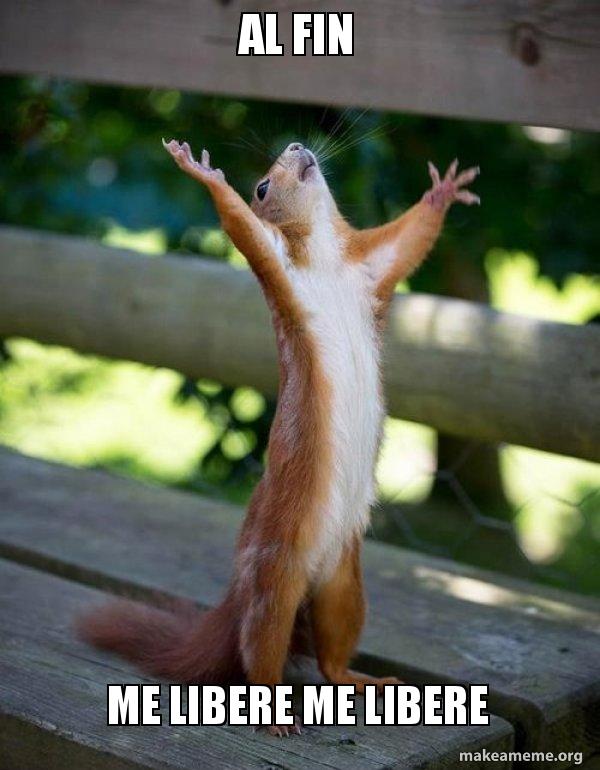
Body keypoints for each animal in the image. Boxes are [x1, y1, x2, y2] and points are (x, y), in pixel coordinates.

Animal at [79, 138, 479, 736]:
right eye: (262, 186)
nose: (296, 146)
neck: (328, 259)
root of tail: (240, 592)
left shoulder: (371, 267)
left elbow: (408, 241)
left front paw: (443, 191)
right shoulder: (278, 266)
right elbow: (242, 227)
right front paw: (204, 173)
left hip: (344, 584)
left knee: (332, 656)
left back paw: (363, 680)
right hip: (275, 578)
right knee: (260, 650)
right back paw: (274, 712)